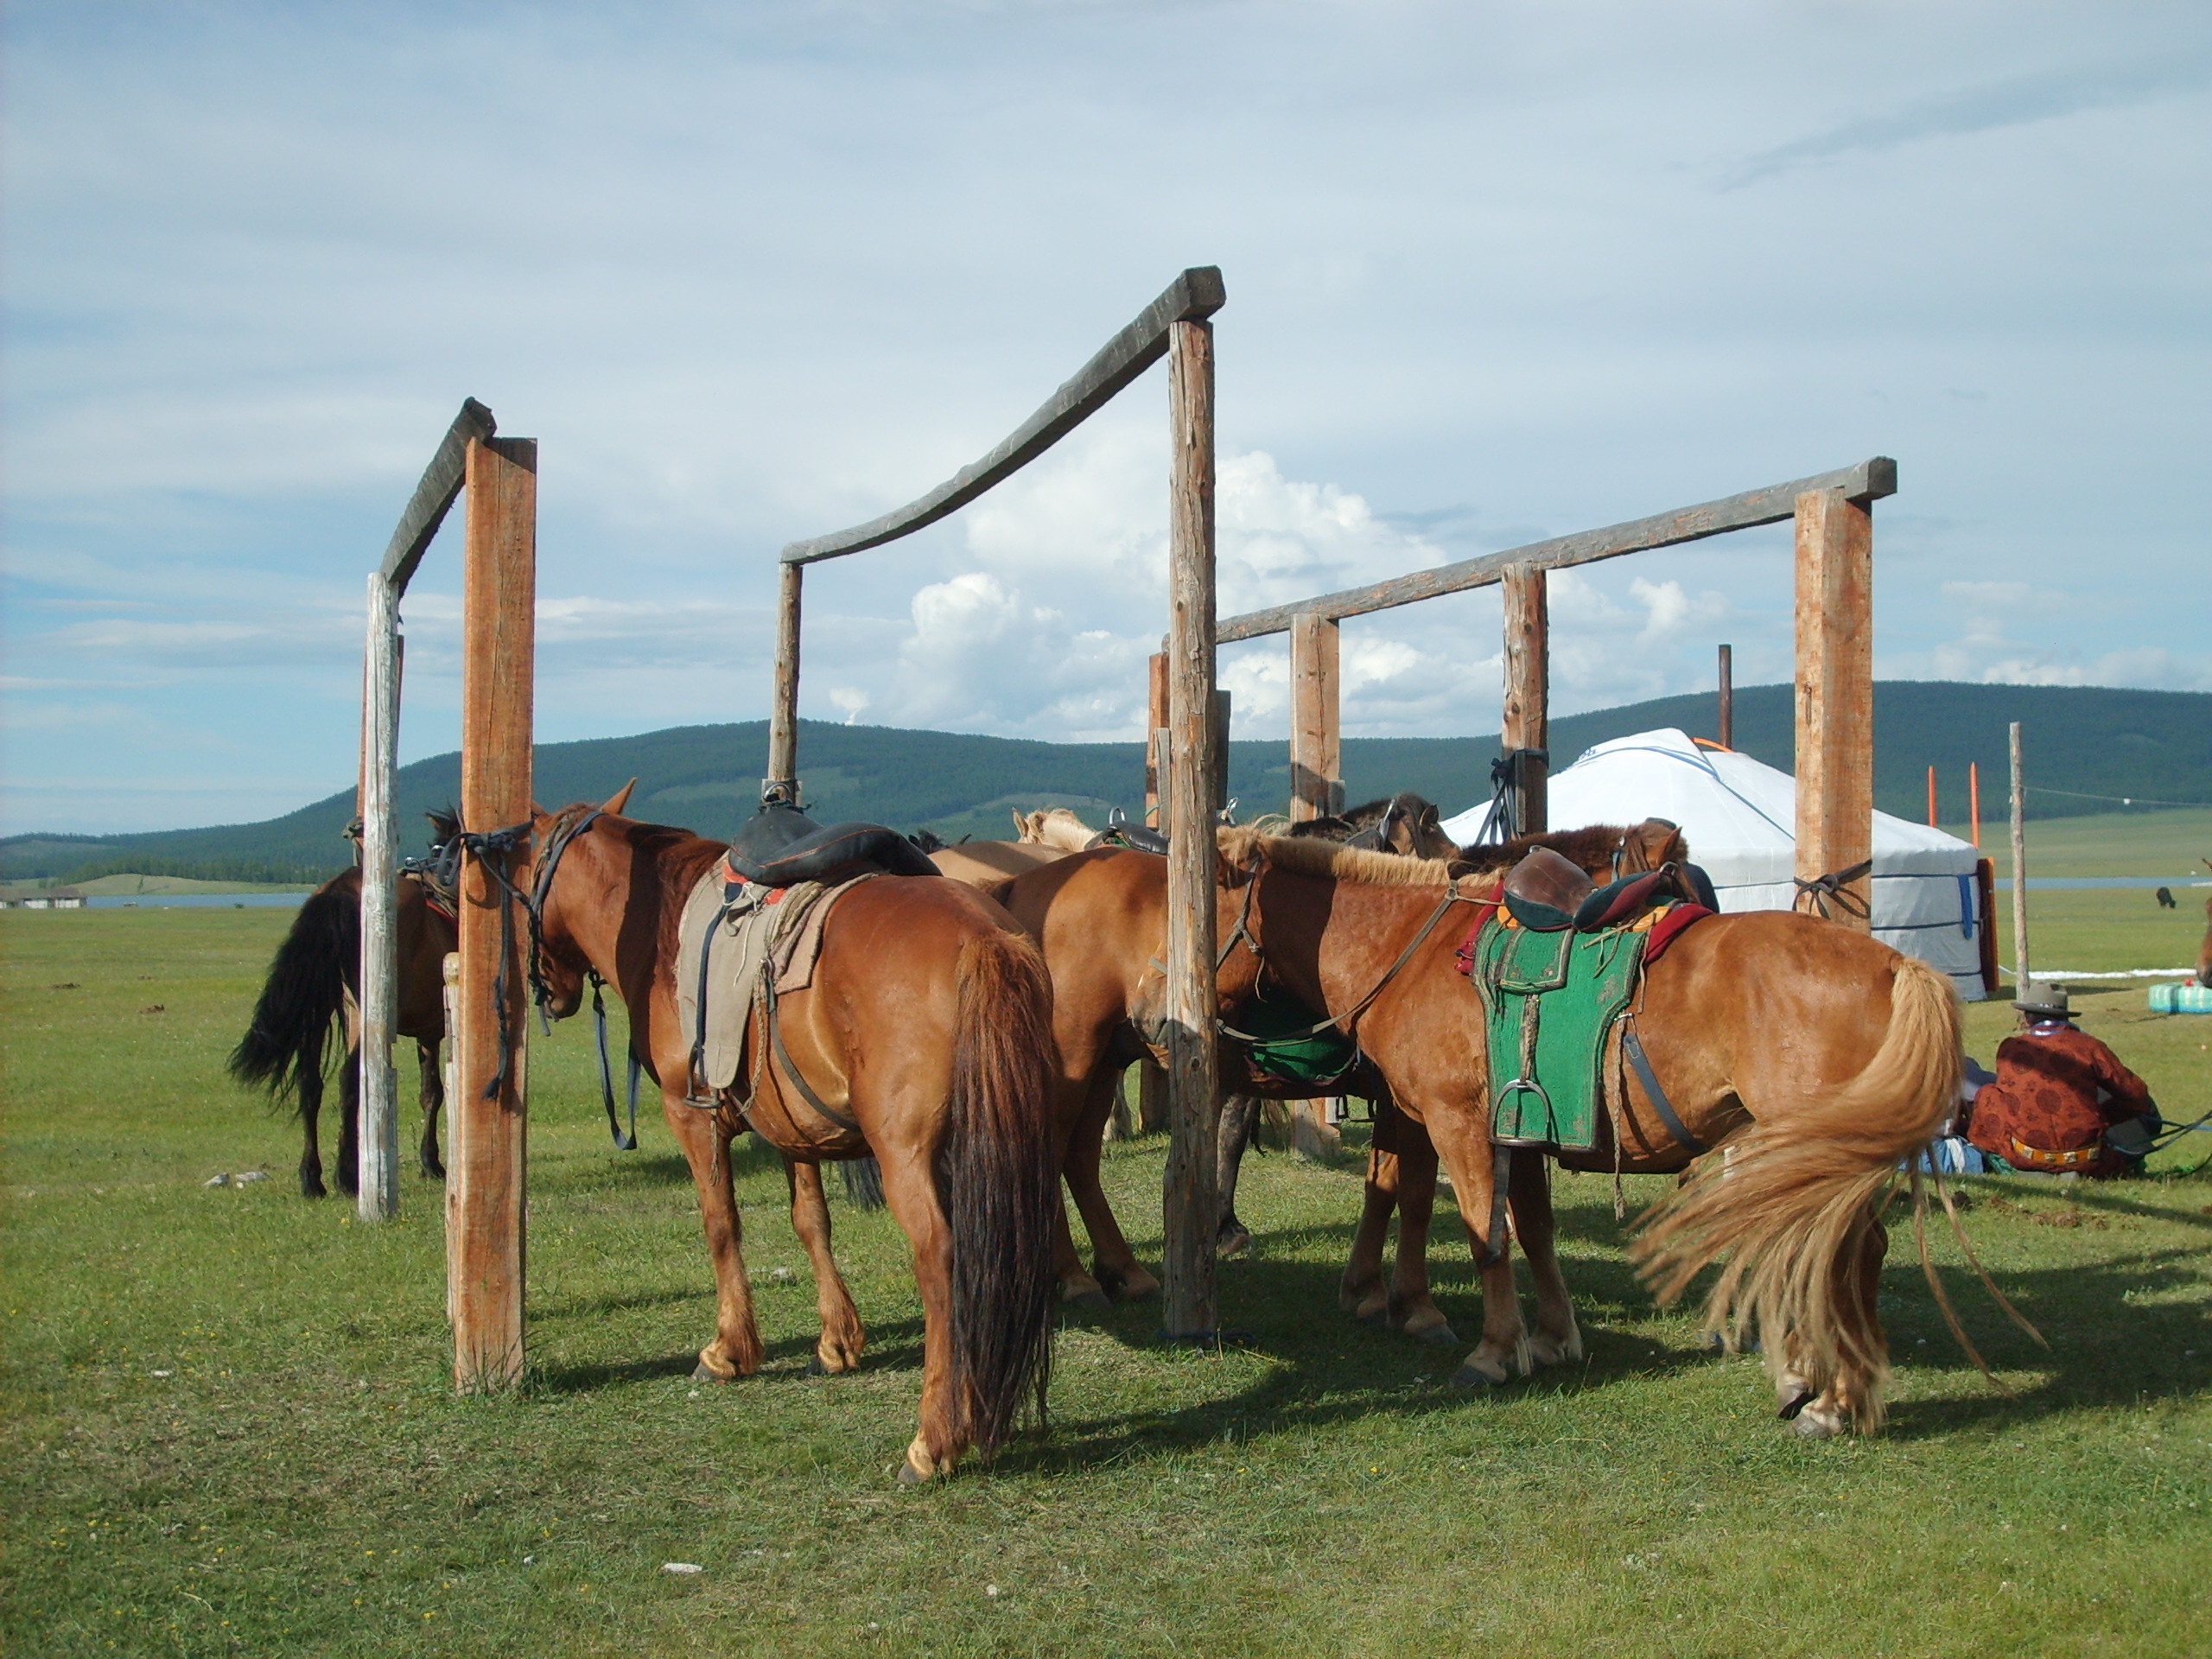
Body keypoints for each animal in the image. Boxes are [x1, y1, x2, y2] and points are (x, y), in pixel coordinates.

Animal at [228, 862, 455, 1197]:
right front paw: (432, 1163)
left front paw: (429, 1162)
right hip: (368, 1012)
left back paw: (312, 1178)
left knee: (310, 1081)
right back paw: (347, 1177)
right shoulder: (434, 1031)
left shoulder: (428, 1033)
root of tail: (341, 887)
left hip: (321, 1010)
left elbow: (430, 1092)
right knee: (351, 1078)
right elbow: (436, 1092)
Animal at [525, 797, 1060, 1481]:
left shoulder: (690, 1115)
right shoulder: (789, 1127)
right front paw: (836, 1342)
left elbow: (721, 1224)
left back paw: (934, 1439)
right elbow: (811, 1221)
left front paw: (728, 1350)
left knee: (940, 1259)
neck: (663, 921)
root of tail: (983, 938)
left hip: (909, 1157)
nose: (551, 991)